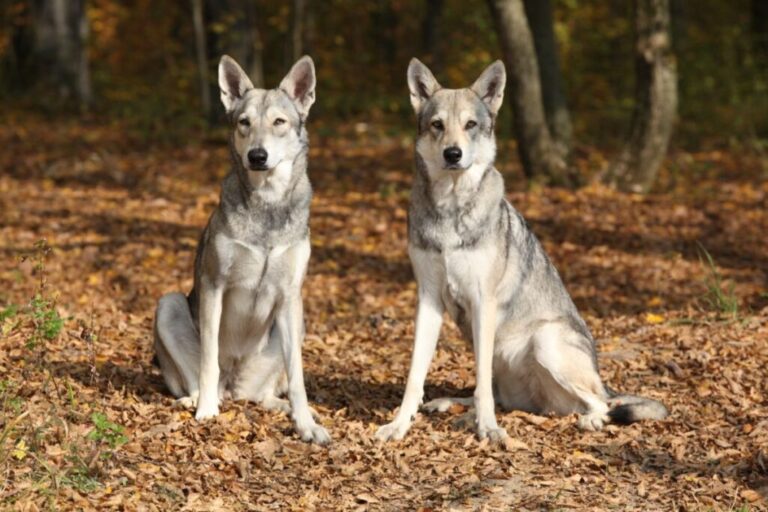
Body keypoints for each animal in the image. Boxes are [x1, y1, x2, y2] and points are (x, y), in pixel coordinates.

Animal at [153, 55, 330, 444]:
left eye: (279, 122)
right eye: (244, 123)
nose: (257, 156)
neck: (267, 203)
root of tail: (236, 385)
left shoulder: (291, 295)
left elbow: (298, 377)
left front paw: (306, 424)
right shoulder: (214, 285)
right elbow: (208, 362)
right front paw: (205, 412)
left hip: (296, 323)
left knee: (261, 394)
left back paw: (284, 408)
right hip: (168, 303)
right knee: (206, 383)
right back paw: (198, 400)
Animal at [376, 58, 668, 442]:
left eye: (470, 125)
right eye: (437, 125)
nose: (453, 154)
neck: (450, 210)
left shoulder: (483, 301)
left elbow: (481, 388)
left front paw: (487, 430)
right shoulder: (429, 299)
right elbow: (415, 376)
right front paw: (399, 425)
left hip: (545, 341)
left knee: (602, 404)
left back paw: (589, 419)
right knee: (495, 392)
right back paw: (451, 406)